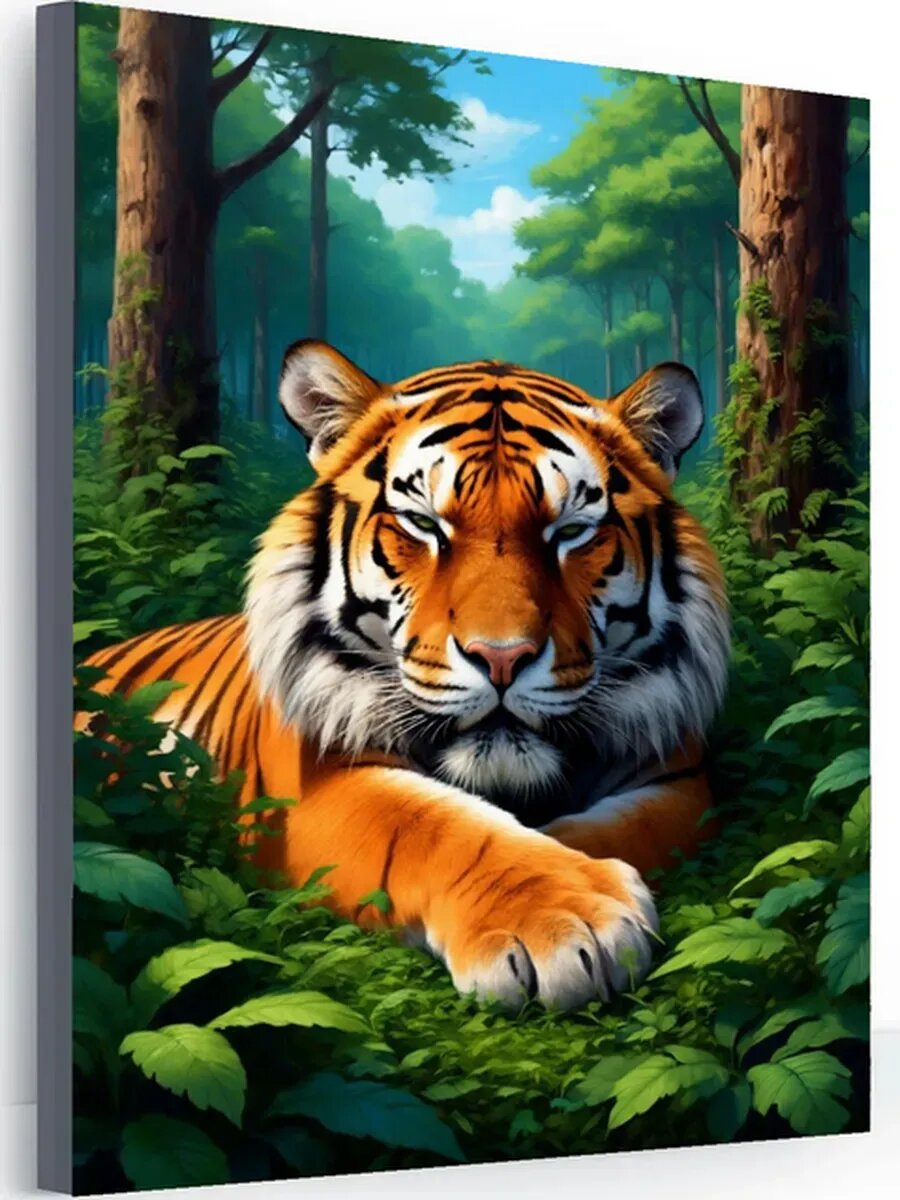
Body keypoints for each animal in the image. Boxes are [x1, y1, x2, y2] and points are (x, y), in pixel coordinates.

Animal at [79, 340, 730, 1011]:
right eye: (424, 525)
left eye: (572, 531)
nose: (502, 657)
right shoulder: (318, 784)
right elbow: (442, 827)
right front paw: (565, 921)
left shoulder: (678, 783)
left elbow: (616, 830)